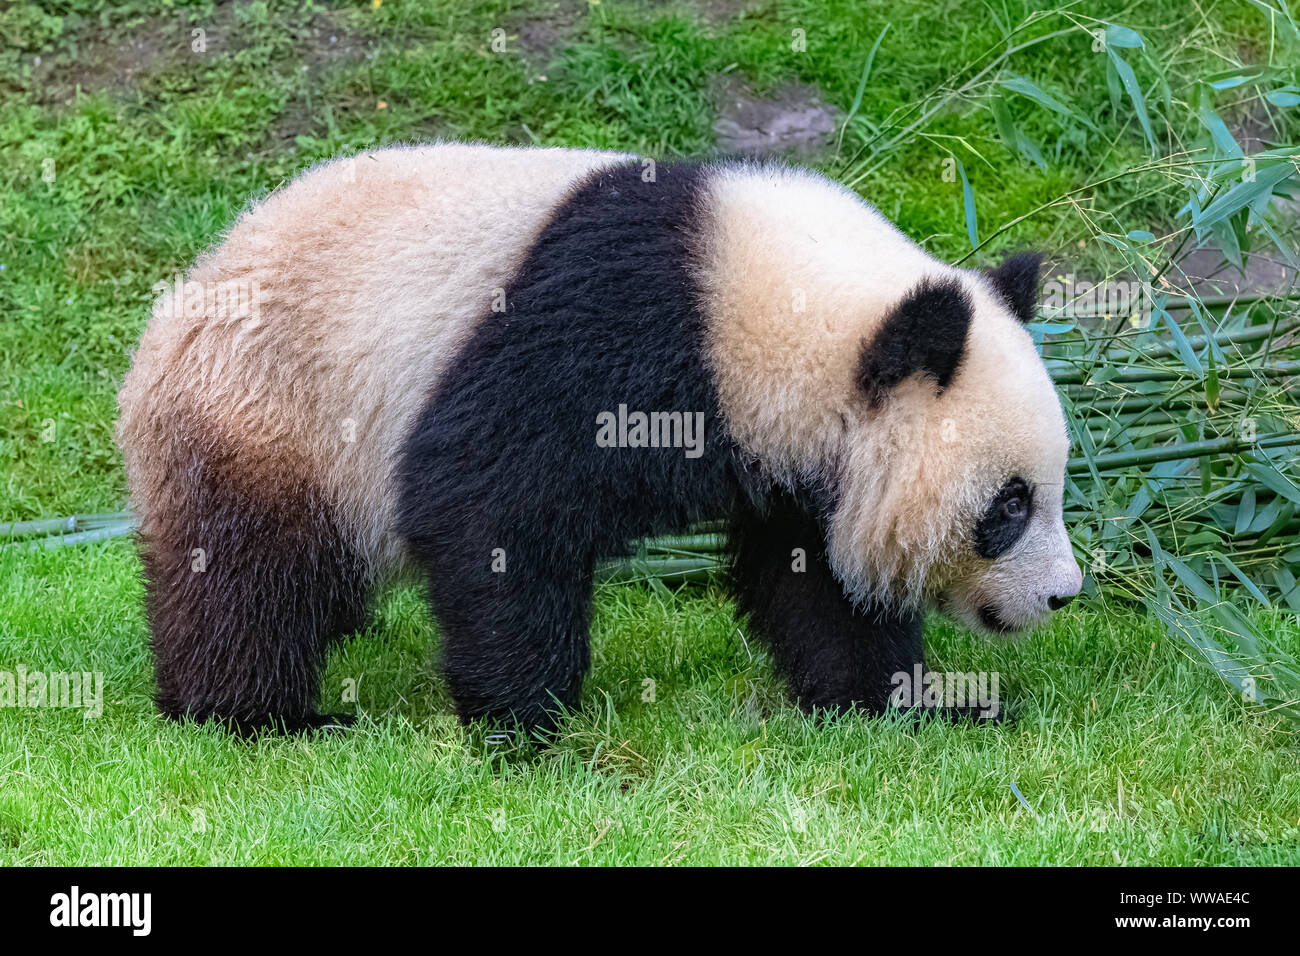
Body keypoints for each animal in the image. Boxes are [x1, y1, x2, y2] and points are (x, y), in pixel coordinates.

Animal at [116, 142, 1082, 732]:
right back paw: (266, 716)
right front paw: (523, 722)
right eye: (1009, 506)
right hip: (273, 408)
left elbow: (813, 580)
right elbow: (486, 500)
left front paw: (916, 703)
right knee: (251, 573)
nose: (1065, 595)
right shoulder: (607, 329)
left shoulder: (791, 451)